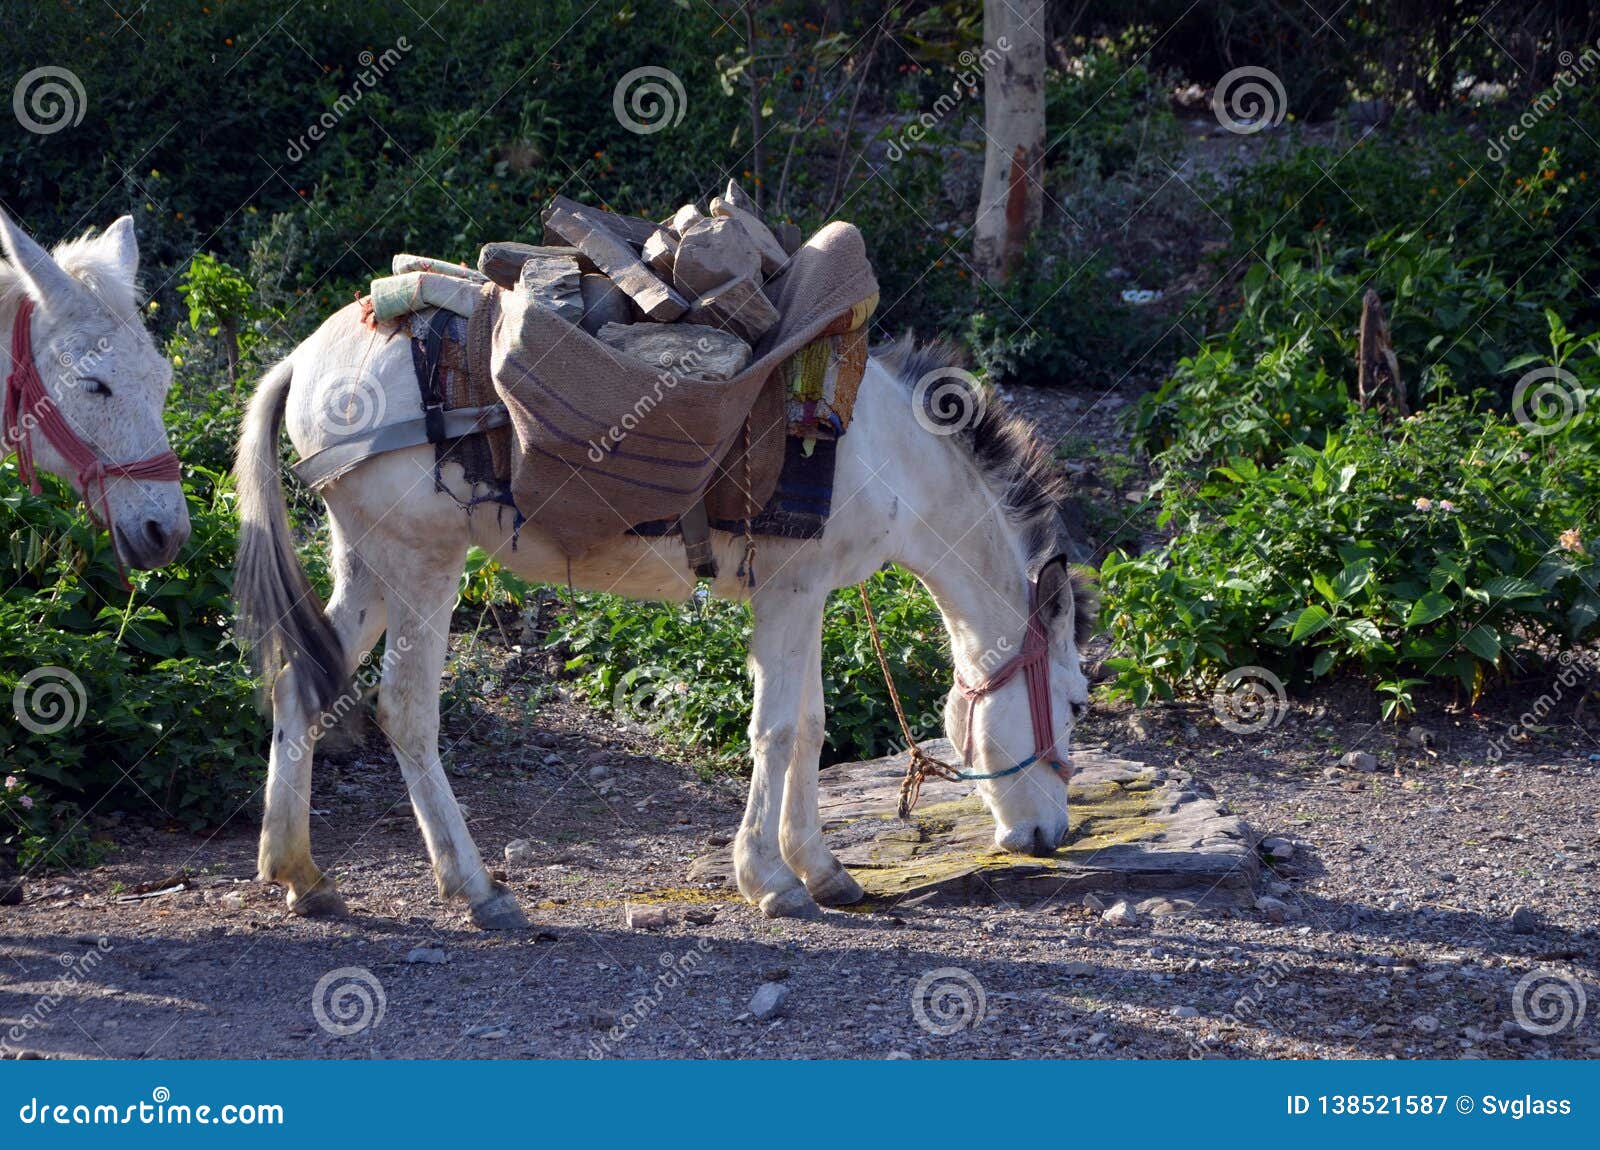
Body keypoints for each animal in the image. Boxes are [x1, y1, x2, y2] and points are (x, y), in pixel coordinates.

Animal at [235, 299, 1094, 927]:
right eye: (1078, 703)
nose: (1051, 838)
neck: (886, 450)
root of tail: (308, 358)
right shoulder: (789, 592)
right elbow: (776, 730)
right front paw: (770, 879)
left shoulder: (808, 595)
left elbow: (809, 726)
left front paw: (821, 869)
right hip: (423, 567)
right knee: (405, 711)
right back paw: (475, 888)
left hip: (367, 566)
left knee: (300, 688)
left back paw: (300, 873)